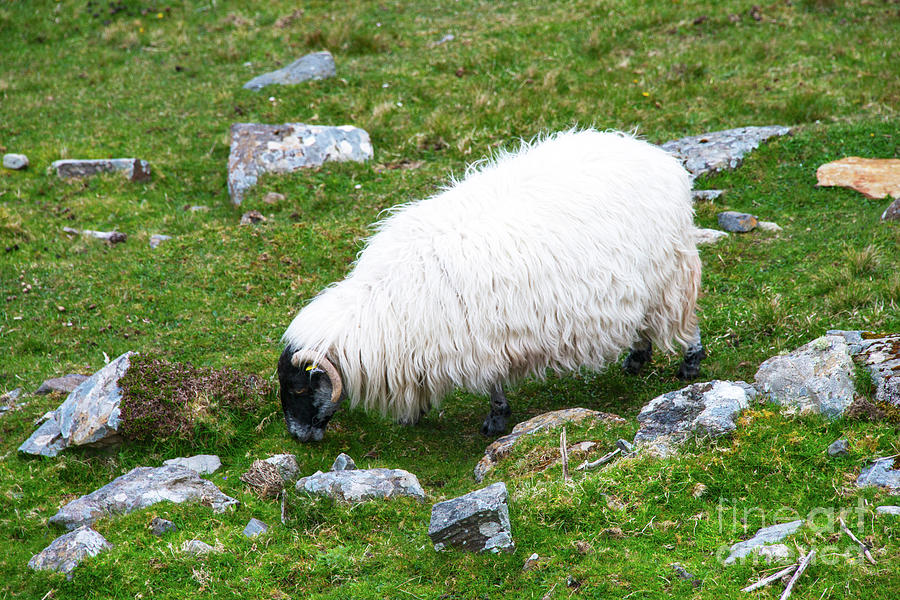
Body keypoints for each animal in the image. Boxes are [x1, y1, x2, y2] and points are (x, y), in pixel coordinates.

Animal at [278, 128, 706, 443]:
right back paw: (637, 358)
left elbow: (493, 387)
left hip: (670, 270)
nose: (297, 437)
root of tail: (656, 156)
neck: (379, 306)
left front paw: (495, 422)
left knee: (686, 320)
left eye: (299, 390)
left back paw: (690, 363)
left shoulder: (480, 342)